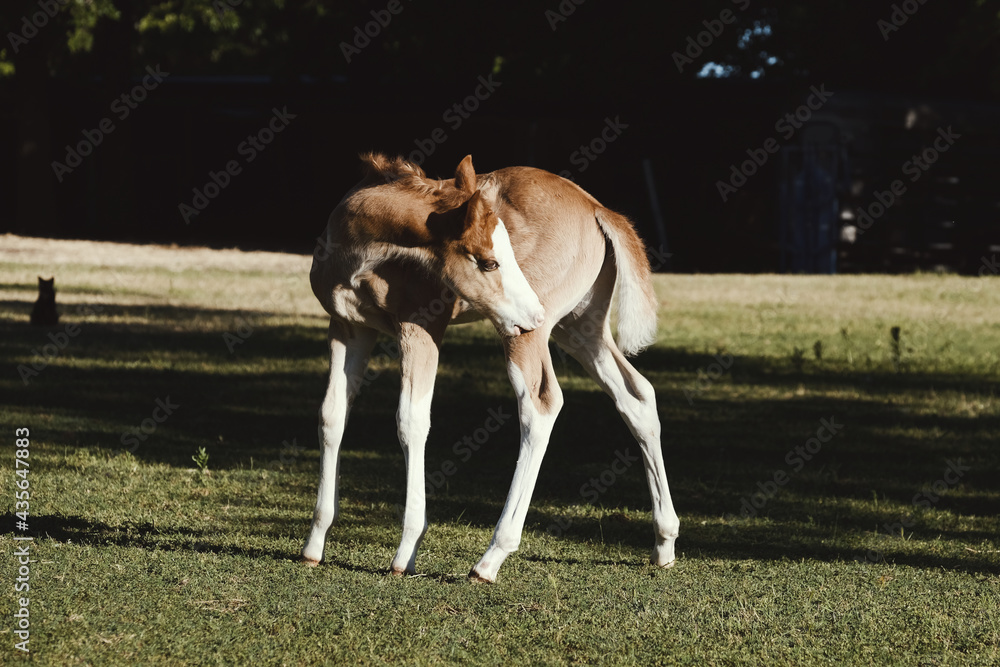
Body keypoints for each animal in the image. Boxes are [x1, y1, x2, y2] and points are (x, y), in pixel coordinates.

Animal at [301, 153, 679, 582]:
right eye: (489, 262)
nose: (535, 314)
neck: (360, 252)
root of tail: (597, 208)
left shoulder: (421, 327)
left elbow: (411, 421)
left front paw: (406, 552)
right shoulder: (348, 328)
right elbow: (332, 416)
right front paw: (314, 544)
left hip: (524, 332)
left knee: (540, 406)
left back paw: (491, 557)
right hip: (579, 327)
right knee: (637, 396)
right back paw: (664, 542)